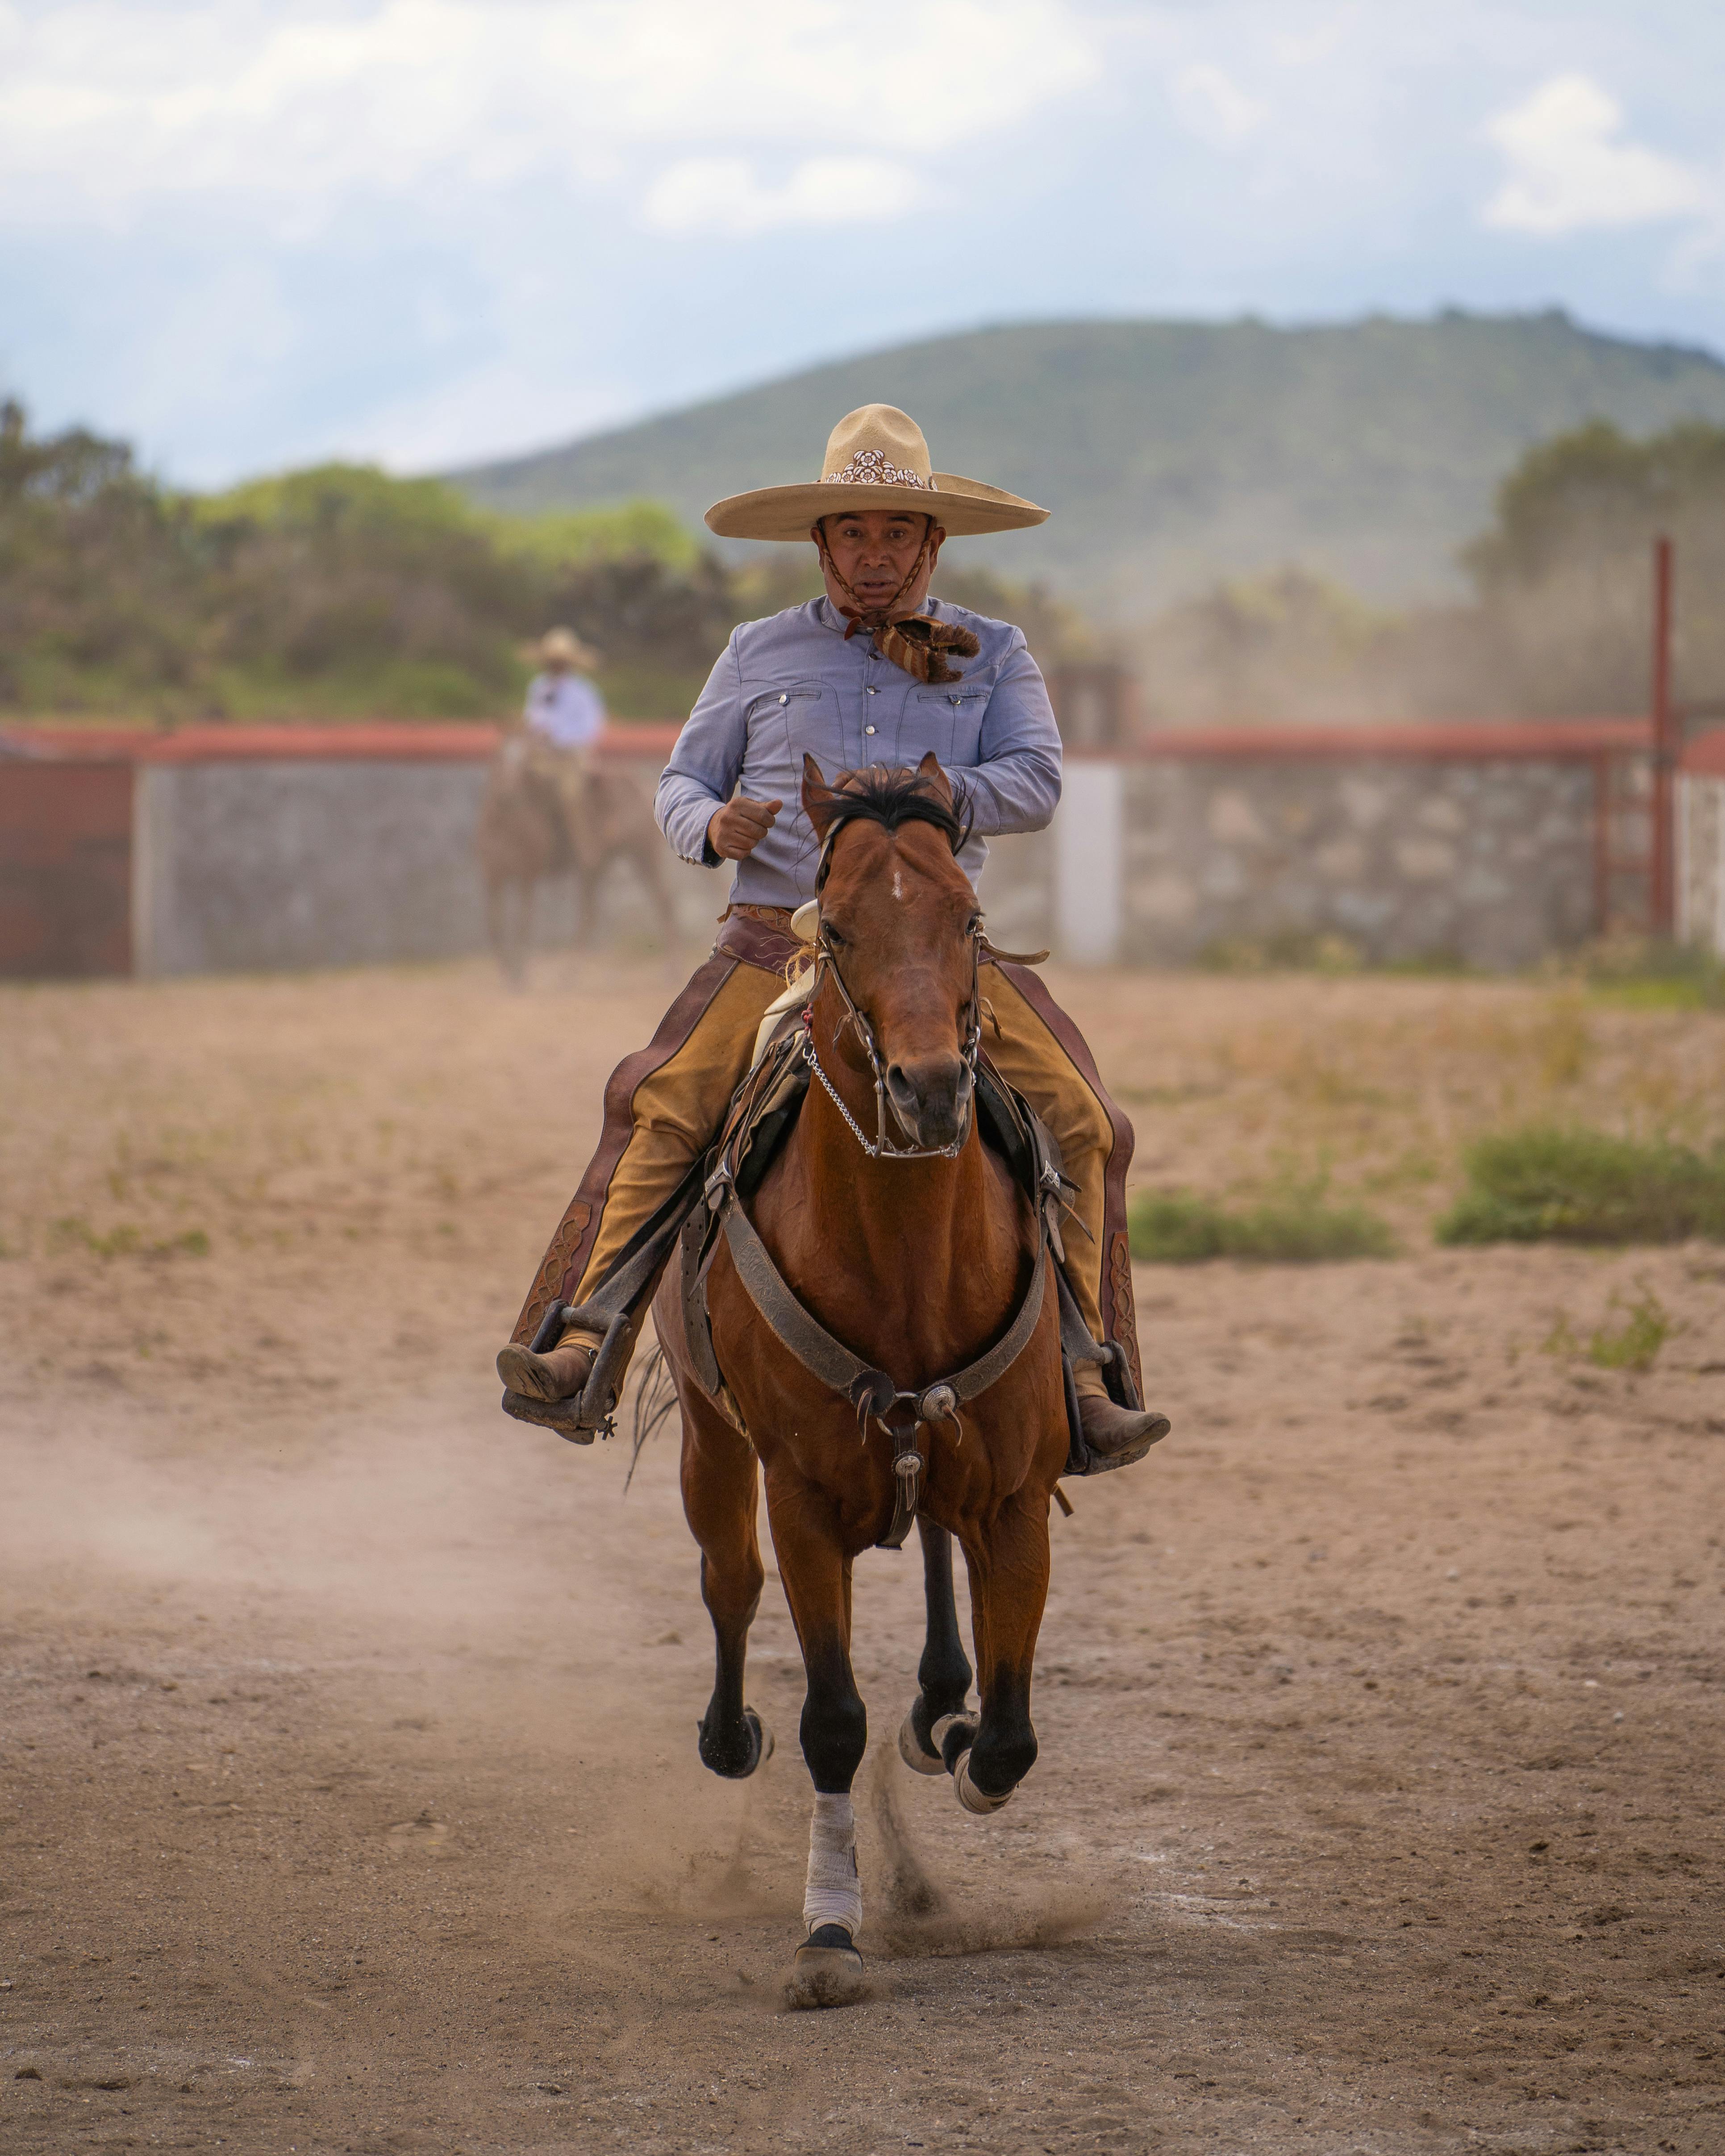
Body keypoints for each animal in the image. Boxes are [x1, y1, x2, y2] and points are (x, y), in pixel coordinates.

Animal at [476, 732, 678, 982]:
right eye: (499, 758)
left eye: (524, 766)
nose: (505, 795)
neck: (506, 825)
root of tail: (643, 787)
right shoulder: (493, 876)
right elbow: (494, 924)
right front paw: (507, 972)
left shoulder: (527, 877)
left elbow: (523, 924)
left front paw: (518, 973)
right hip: (598, 867)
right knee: (590, 913)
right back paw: (571, 973)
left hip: (643, 855)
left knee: (663, 901)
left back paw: (671, 970)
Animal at [651, 752, 1071, 2009]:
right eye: (833, 925)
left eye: (970, 918)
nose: (929, 1089)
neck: (904, 1257)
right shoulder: (804, 1502)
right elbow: (831, 1716)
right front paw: (829, 1932)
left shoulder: (1016, 1495)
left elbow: (1013, 1734)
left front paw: (964, 1745)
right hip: (709, 1439)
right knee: (728, 1580)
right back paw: (730, 1735)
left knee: (931, 1549)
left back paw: (938, 1706)